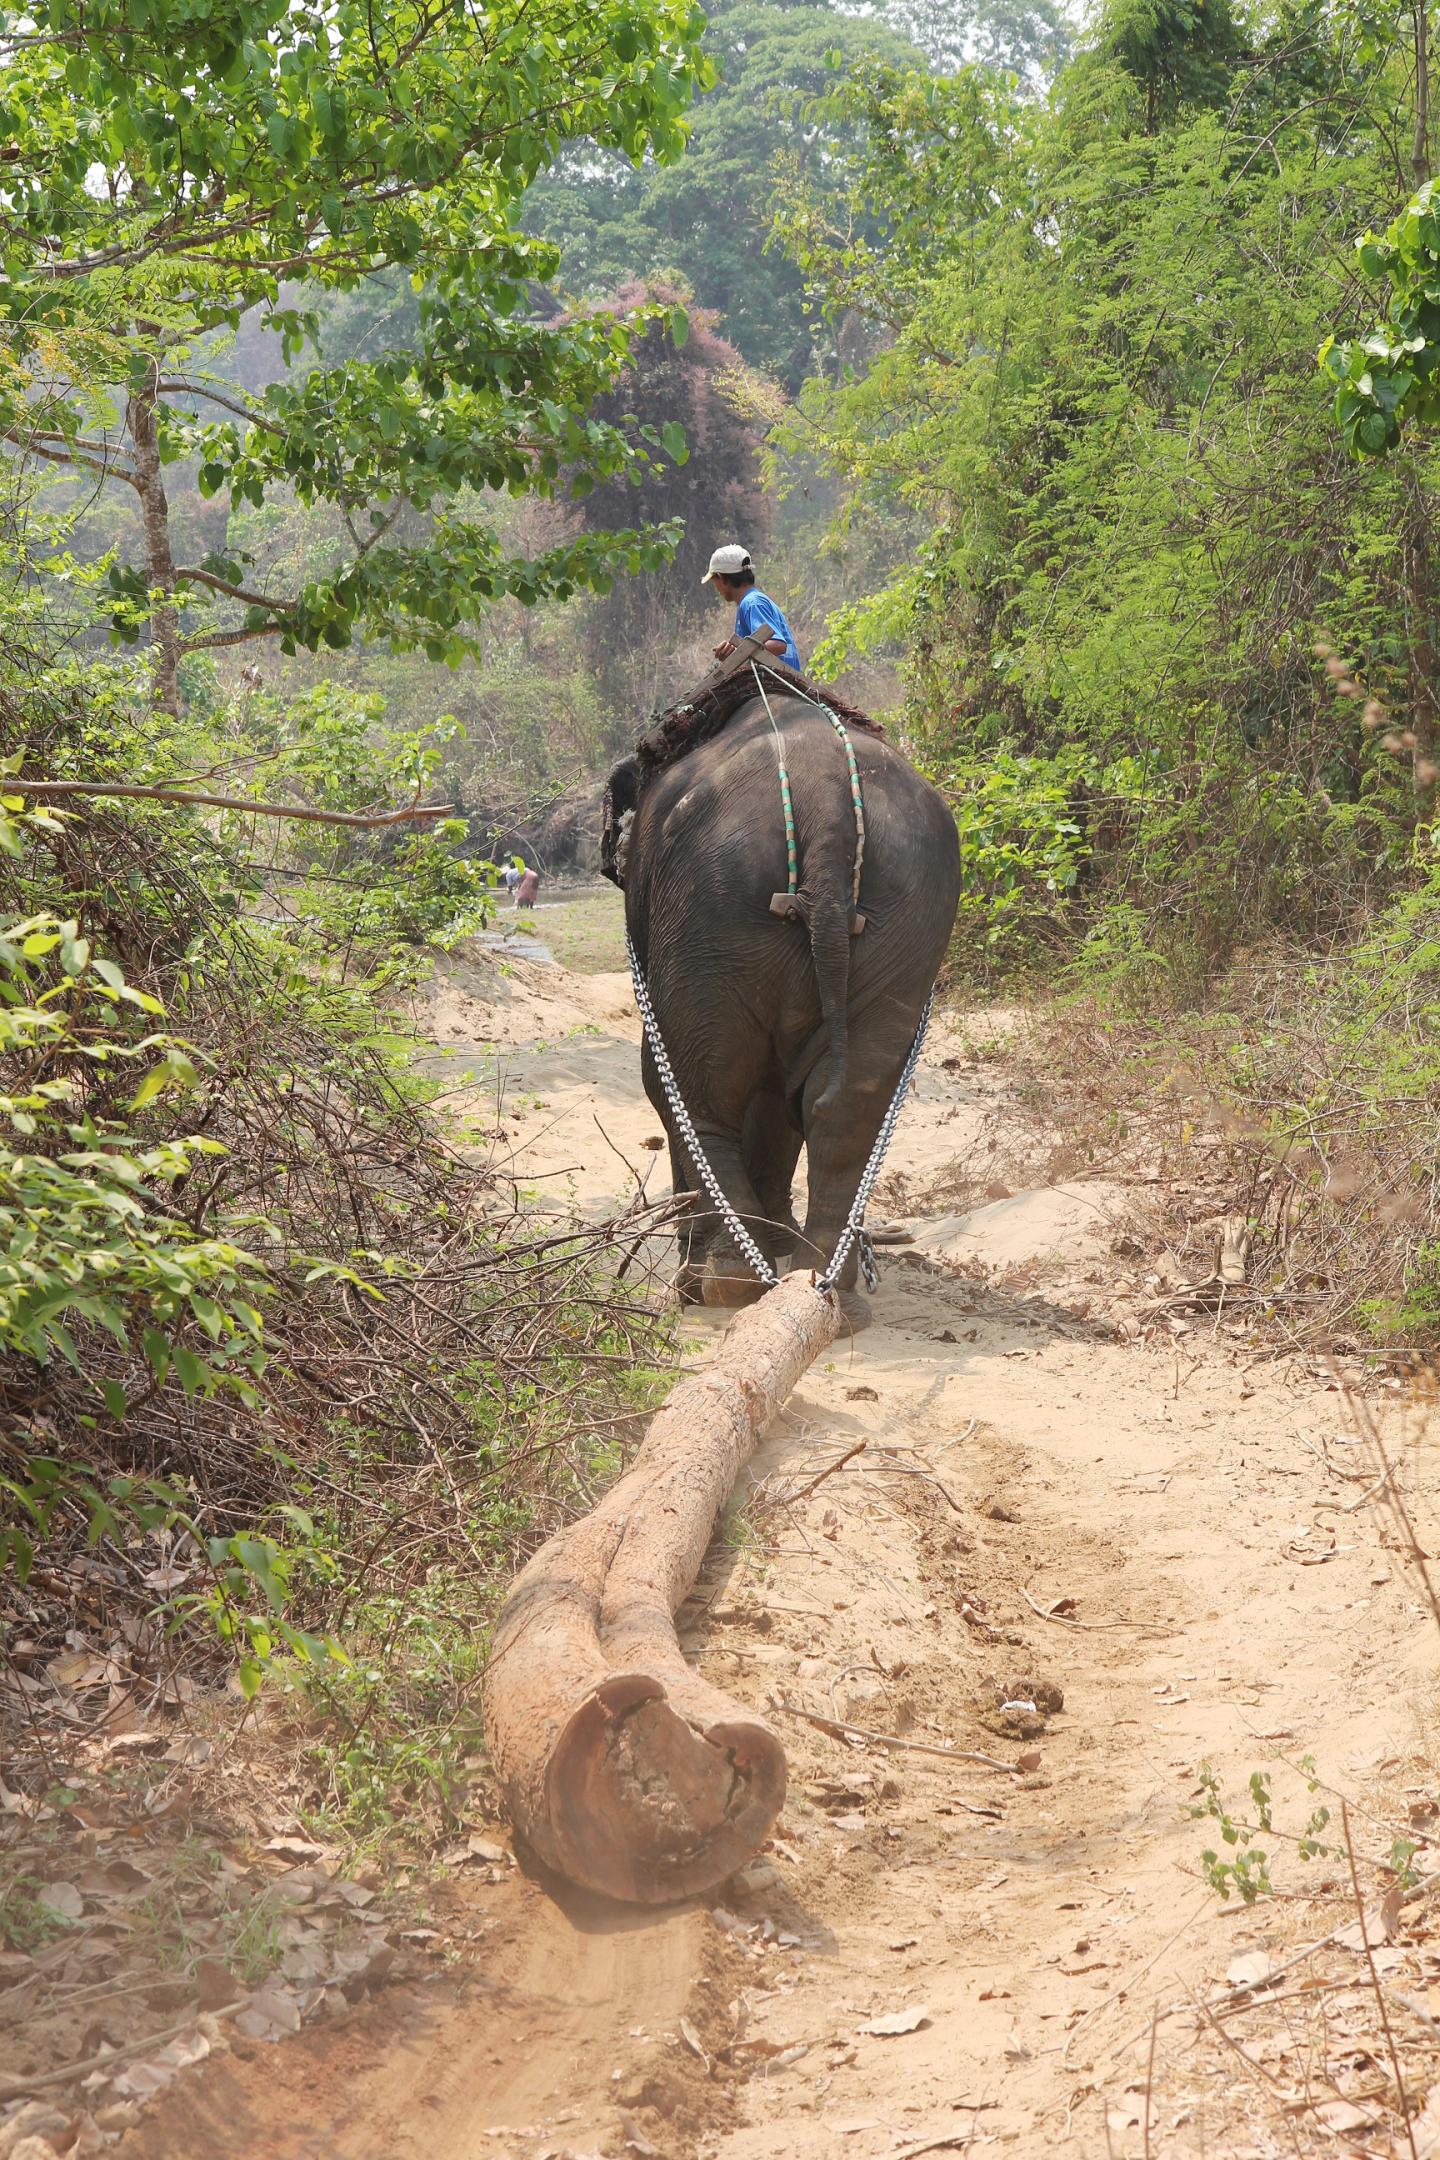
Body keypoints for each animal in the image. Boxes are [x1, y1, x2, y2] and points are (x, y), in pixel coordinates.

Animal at [609, 692, 960, 1327]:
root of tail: (827, 808)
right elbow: (778, 1101)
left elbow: (666, 1074)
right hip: (910, 916)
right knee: (844, 1102)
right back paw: (823, 1281)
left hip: (712, 913)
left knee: (702, 1093)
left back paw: (722, 1281)